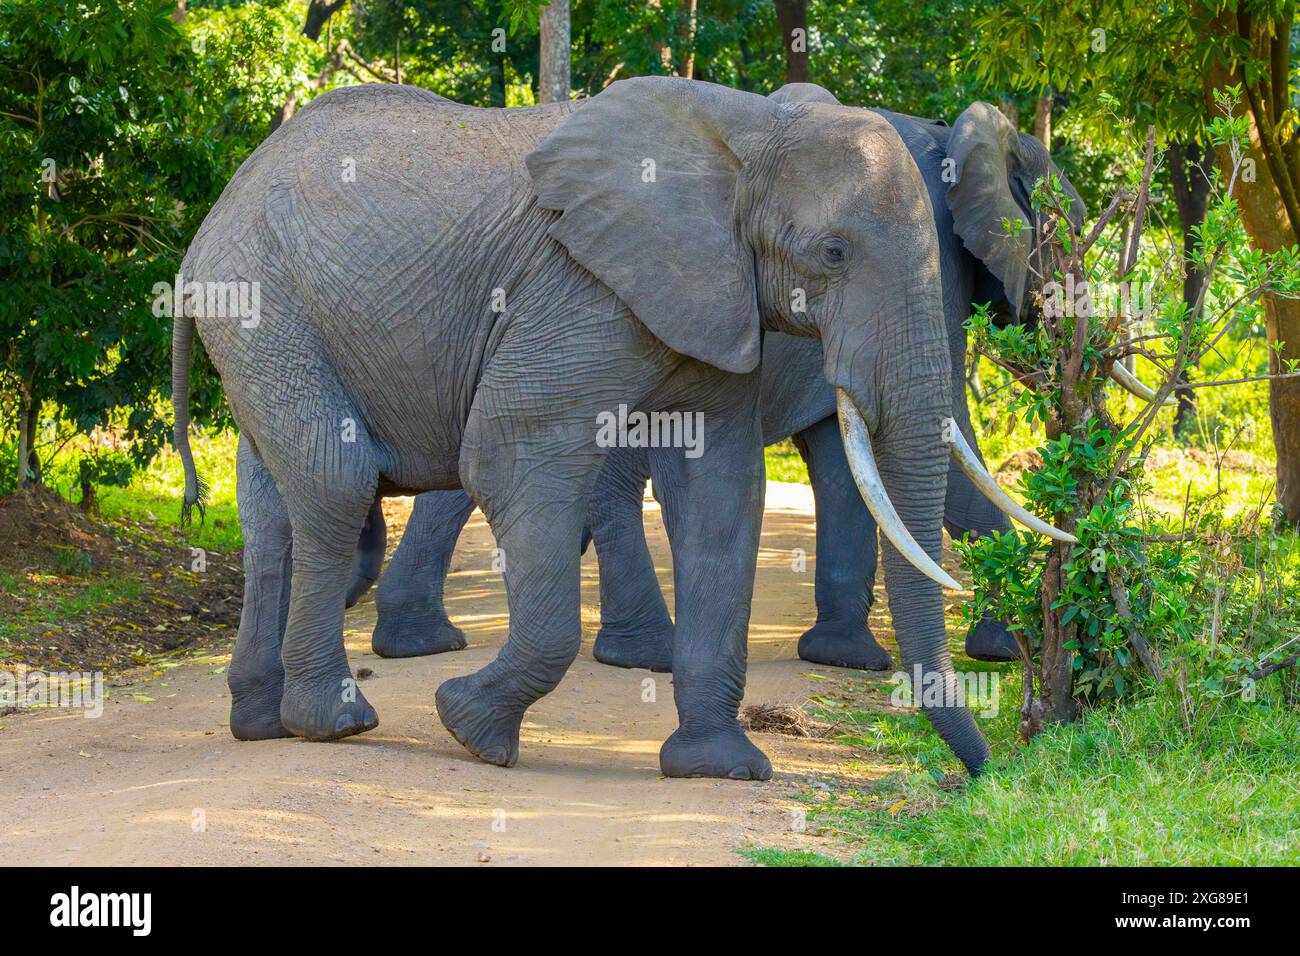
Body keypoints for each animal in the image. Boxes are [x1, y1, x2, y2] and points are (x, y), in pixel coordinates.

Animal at [348, 83, 1104, 677]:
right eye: (1071, 233)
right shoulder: (930, 272)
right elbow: (947, 452)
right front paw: (1002, 647)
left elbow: (847, 460)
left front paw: (846, 658)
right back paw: (636, 655)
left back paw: (420, 642)